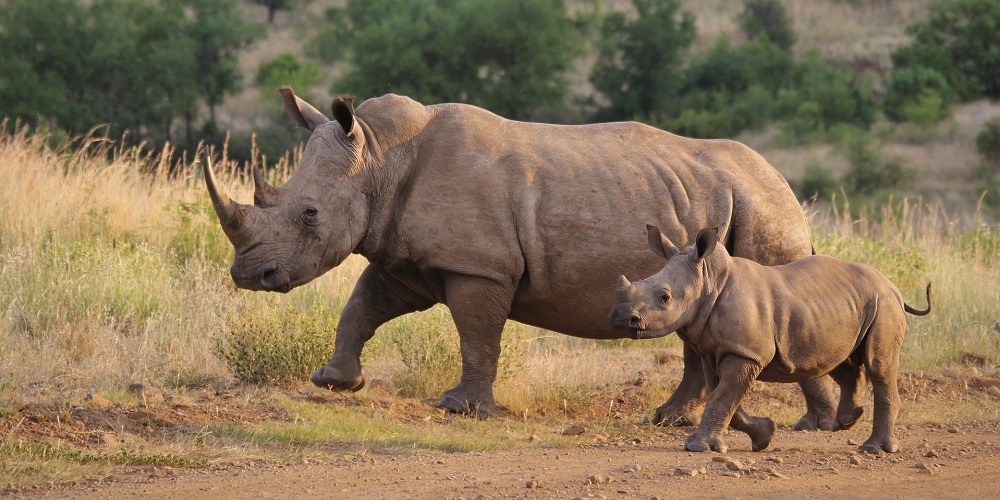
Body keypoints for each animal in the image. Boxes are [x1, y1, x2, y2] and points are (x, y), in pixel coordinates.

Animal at [204, 86, 840, 426]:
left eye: (309, 214)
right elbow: (363, 306)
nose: (249, 274)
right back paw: (672, 419)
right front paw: (335, 381)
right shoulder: (406, 257)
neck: (380, 158)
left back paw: (803, 423)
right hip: (724, 207)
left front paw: (461, 408)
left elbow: (477, 333)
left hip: (762, 211)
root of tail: (785, 186)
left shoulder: (478, 265)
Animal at [609, 226, 932, 453]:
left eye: (664, 297)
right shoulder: (716, 351)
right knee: (839, 360)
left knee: (878, 366)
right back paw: (847, 421)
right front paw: (764, 436)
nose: (620, 318)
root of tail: (893, 285)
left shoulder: (745, 353)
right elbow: (724, 398)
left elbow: (721, 397)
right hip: (847, 305)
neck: (708, 280)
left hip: (883, 303)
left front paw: (697, 446)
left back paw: (874, 449)